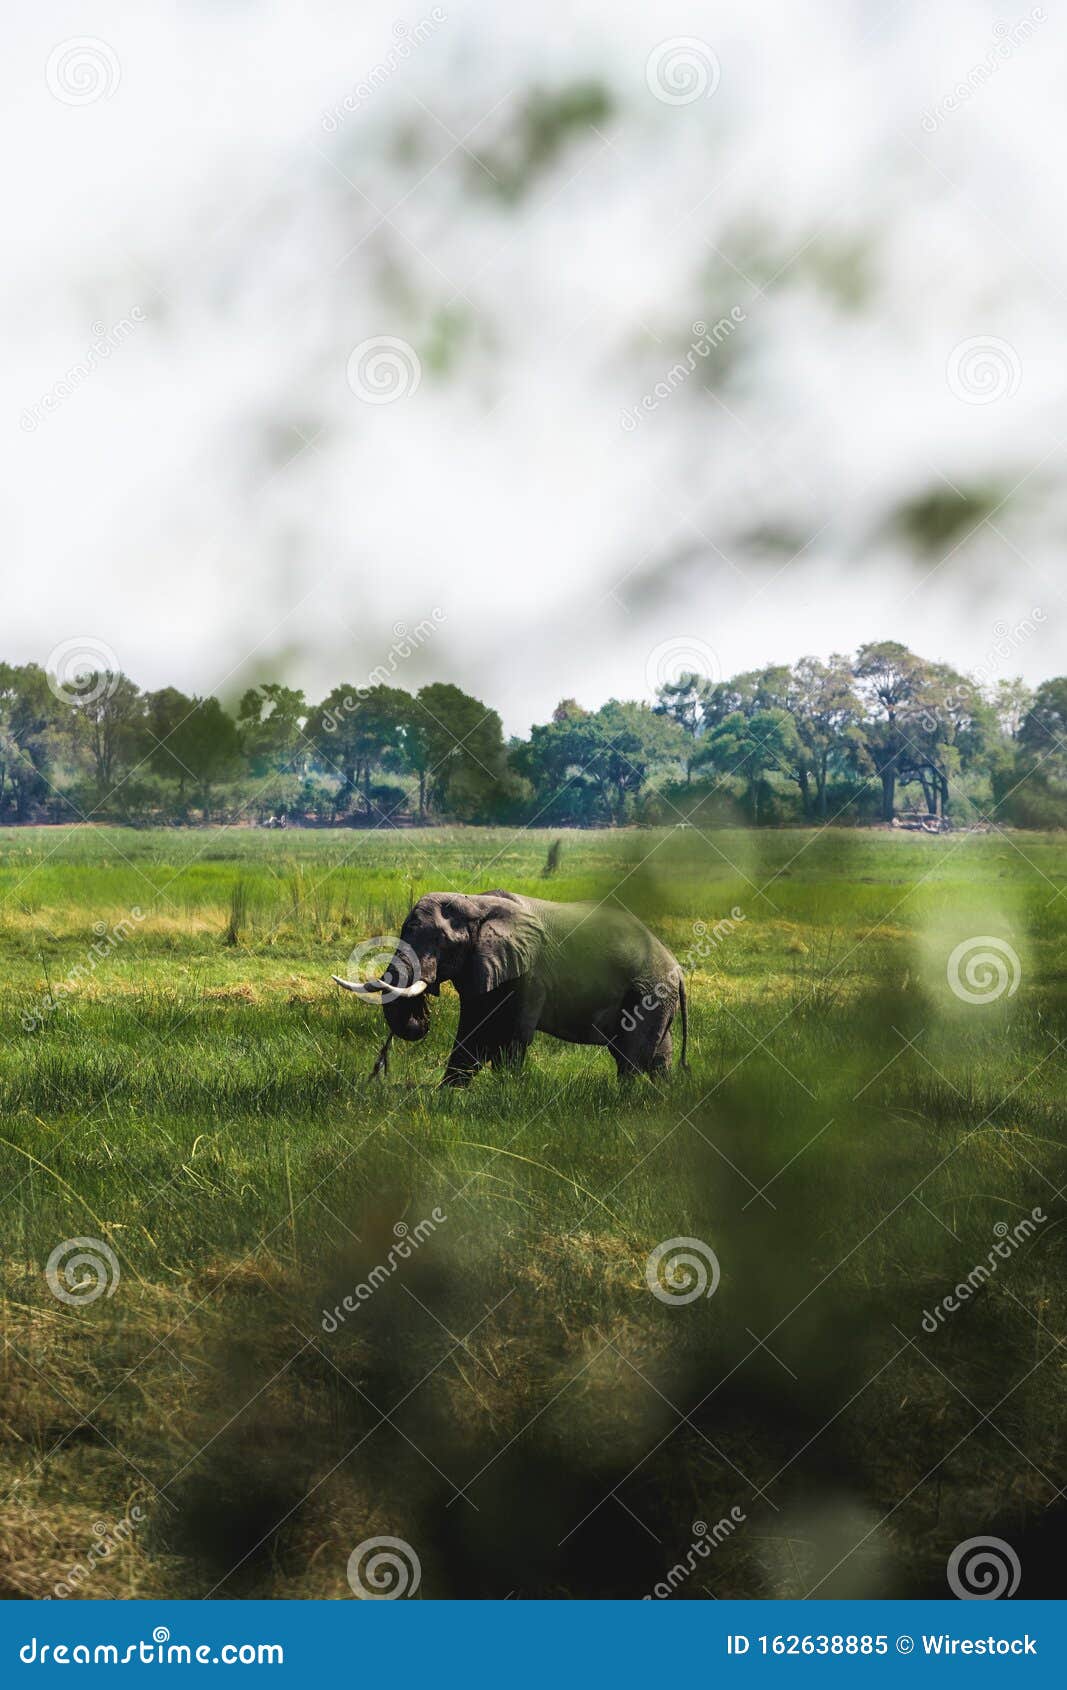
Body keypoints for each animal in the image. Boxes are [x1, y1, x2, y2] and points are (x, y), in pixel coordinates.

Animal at [333, 890, 689, 1087]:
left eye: (440, 941)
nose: (424, 1009)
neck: (475, 902)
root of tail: (676, 967)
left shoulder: (531, 971)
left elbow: (513, 1034)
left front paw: (507, 1092)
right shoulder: (480, 967)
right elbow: (472, 1032)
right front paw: (447, 1095)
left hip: (648, 989)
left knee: (632, 1055)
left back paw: (627, 1098)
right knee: (657, 1054)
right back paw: (660, 1096)